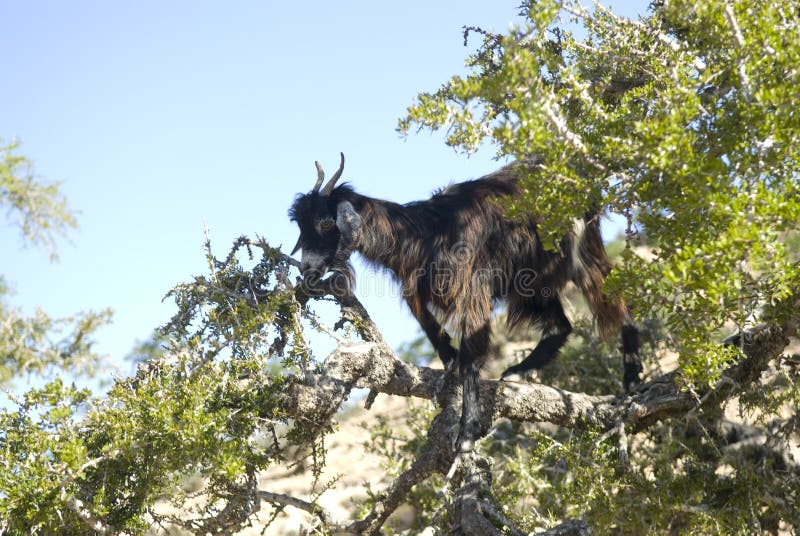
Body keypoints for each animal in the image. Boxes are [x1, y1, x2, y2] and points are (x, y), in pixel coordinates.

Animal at [288, 153, 641, 451]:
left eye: (325, 222)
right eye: (300, 226)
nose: (307, 270)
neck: (425, 232)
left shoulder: (471, 291)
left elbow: (472, 358)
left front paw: (467, 432)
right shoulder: (417, 290)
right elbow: (433, 331)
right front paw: (449, 367)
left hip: (580, 251)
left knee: (617, 297)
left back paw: (632, 379)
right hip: (532, 282)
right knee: (560, 326)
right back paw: (519, 371)